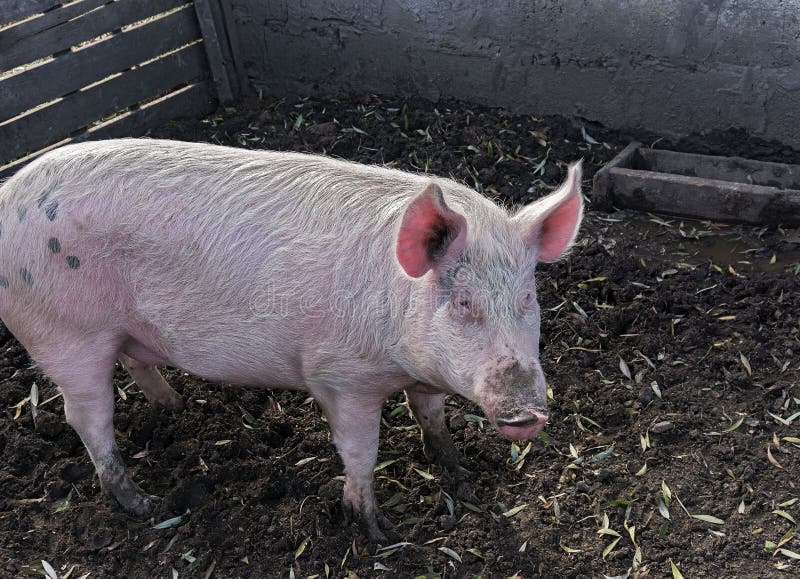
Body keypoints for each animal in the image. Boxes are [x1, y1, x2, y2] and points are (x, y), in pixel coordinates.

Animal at [0, 139, 583, 542]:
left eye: (527, 298)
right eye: (463, 303)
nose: (528, 413)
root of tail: (8, 194)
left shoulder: (422, 377)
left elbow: (432, 417)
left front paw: (458, 470)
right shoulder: (341, 377)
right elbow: (361, 451)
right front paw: (376, 531)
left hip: (122, 329)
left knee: (135, 366)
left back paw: (174, 407)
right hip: (66, 332)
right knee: (86, 417)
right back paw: (143, 503)